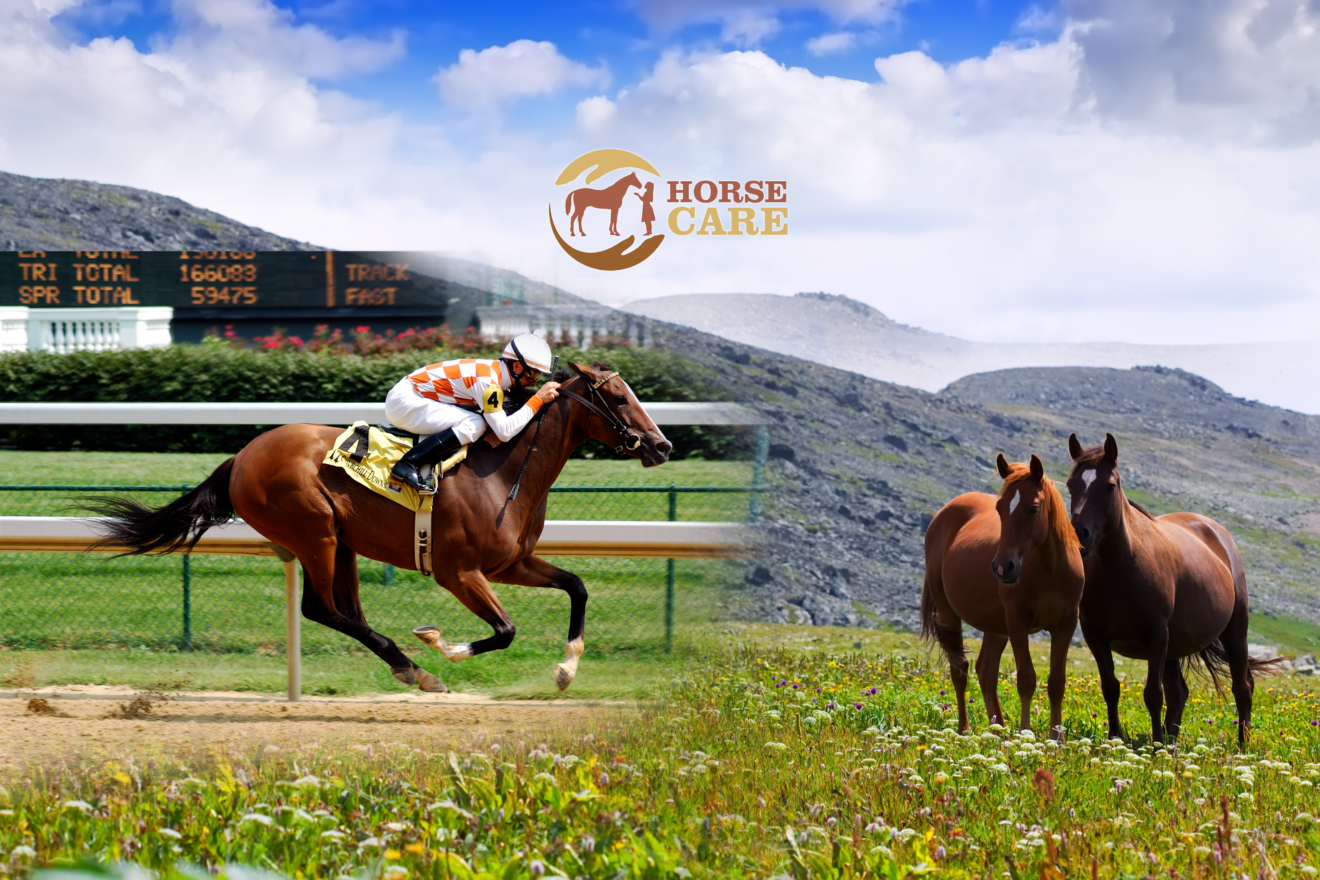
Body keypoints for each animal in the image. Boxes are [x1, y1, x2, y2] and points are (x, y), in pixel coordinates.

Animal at [87, 362, 672, 694]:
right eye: (619, 397)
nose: (662, 445)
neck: (505, 470)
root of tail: (242, 456)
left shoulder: (510, 563)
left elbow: (577, 586)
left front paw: (567, 669)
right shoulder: (459, 572)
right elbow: (505, 631)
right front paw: (441, 644)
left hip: (341, 542)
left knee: (347, 612)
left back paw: (406, 667)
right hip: (314, 531)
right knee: (321, 609)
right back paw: (416, 667)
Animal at [921, 453, 1085, 739]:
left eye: (1033, 508)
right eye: (999, 508)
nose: (1002, 567)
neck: (1050, 569)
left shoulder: (1066, 623)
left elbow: (1057, 682)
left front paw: (1057, 739)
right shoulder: (1017, 621)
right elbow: (1026, 679)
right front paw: (1025, 733)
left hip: (995, 627)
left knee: (986, 671)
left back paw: (998, 730)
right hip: (948, 613)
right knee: (960, 668)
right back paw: (965, 730)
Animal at [1066, 433, 1275, 746]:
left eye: (1109, 486)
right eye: (1070, 485)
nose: (1080, 535)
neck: (1119, 568)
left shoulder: (1156, 635)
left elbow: (1153, 694)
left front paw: (1155, 748)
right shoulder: (1096, 637)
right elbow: (1110, 688)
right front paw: (1116, 739)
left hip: (1234, 631)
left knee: (1242, 687)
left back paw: (1241, 746)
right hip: (1174, 646)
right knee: (1179, 693)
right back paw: (1173, 745)